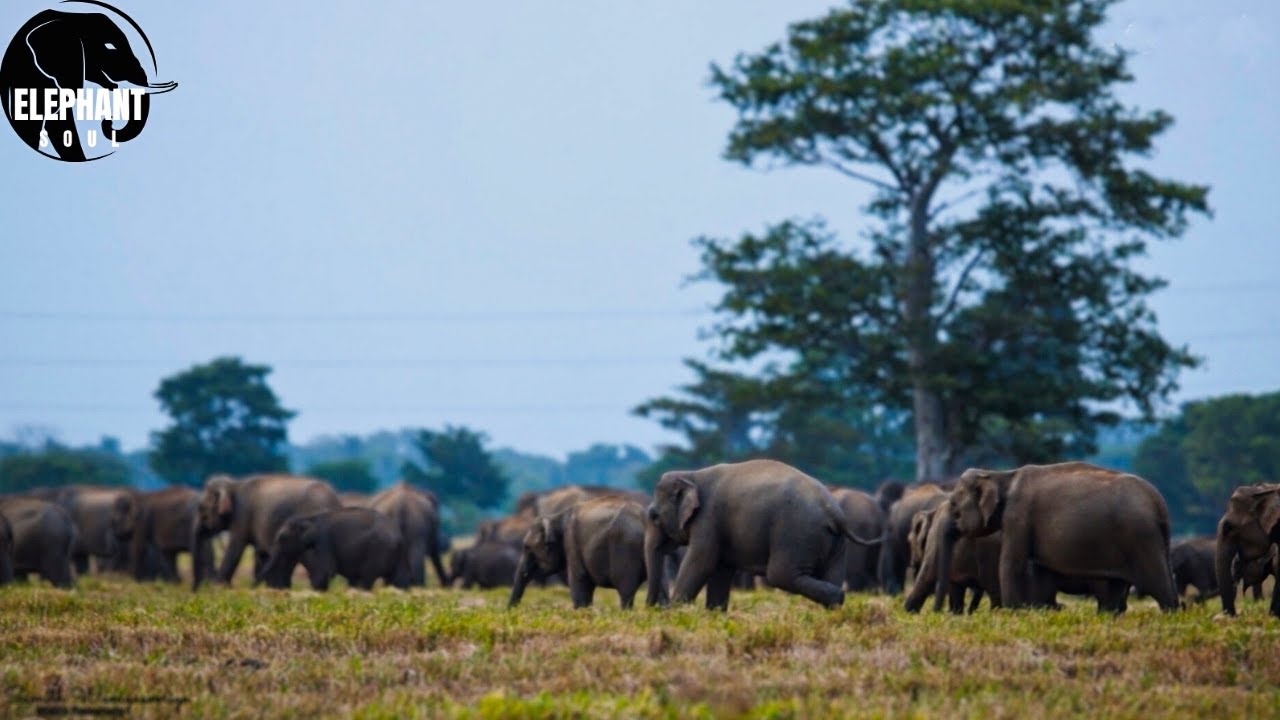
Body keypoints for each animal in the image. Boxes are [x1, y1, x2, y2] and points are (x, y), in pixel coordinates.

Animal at [191, 473, 342, 589]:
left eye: (201, 507)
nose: (199, 589)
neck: (233, 484)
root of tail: (334, 501)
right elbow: (261, 554)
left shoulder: (242, 513)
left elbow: (235, 548)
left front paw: (219, 588)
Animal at [260, 508, 409, 591]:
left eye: (282, 538)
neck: (309, 518)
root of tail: (398, 536)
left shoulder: (323, 542)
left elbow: (325, 572)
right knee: (396, 579)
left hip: (378, 550)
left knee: (366, 578)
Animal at [510, 495, 652, 609]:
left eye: (527, 547)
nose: (511, 610)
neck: (557, 517)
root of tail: (643, 521)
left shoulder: (572, 543)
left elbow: (580, 580)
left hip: (625, 549)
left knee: (626, 590)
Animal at [645, 459, 881, 610]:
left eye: (654, 516)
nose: (653, 609)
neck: (691, 475)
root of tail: (834, 512)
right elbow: (721, 569)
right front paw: (715, 613)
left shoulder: (708, 520)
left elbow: (701, 563)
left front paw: (675, 613)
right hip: (835, 543)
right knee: (831, 574)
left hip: (794, 535)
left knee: (780, 575)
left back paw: (837, 598)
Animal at [950, 462, 1179, 612]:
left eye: (954, 506)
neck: (1002, 476)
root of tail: (1159, 504)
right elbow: (1040, 571)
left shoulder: (1018, 517)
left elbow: (1011, 565)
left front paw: (1012, 614)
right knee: (1117, 590)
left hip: (1141, 539)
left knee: (1158, 586)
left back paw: (1171, 616)